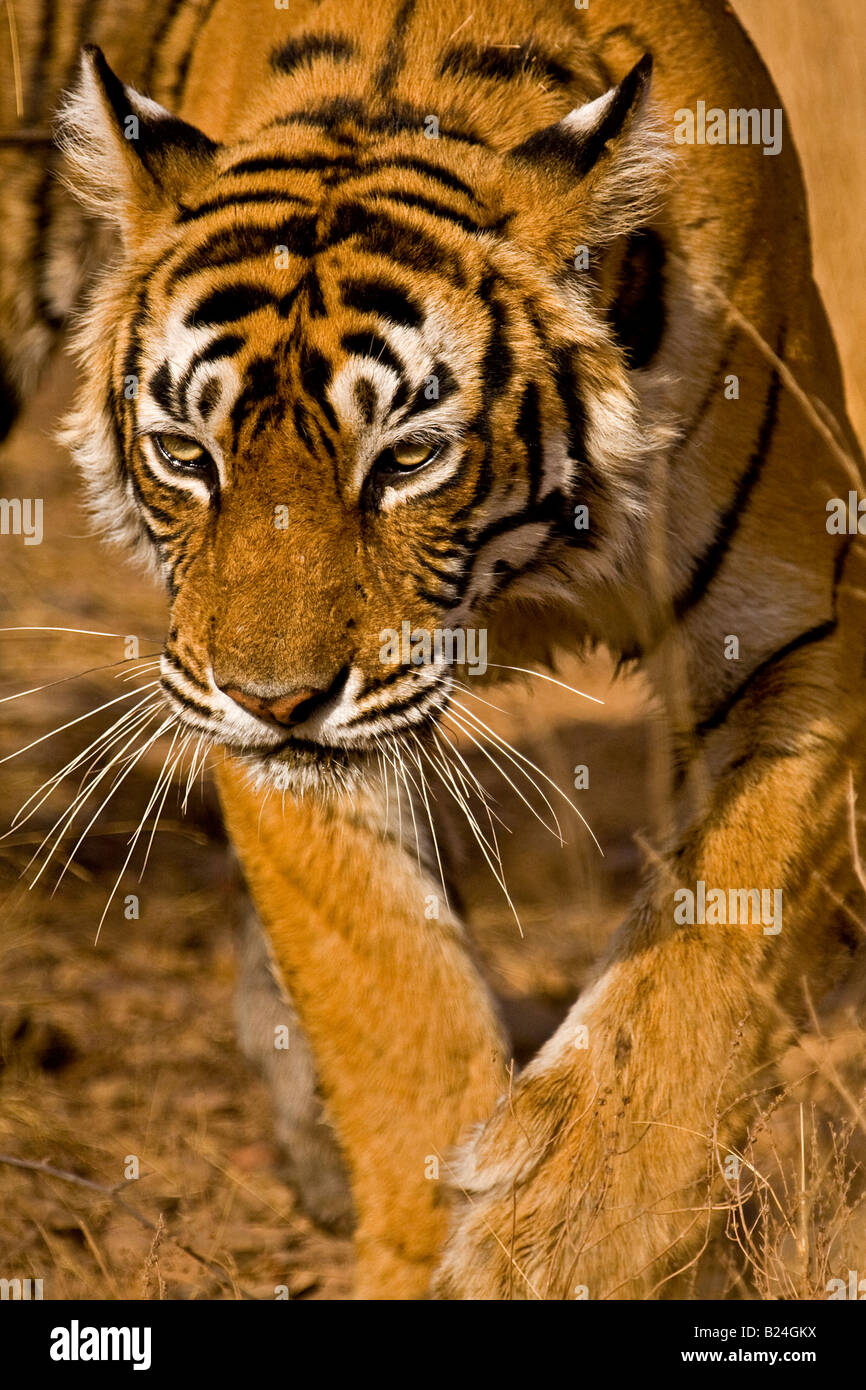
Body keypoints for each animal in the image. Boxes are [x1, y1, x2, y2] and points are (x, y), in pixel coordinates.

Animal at [2, 0, 865, 1300]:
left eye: (406, 456)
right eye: (185, 453)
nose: (274, 699)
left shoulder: (803, 628)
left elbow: (717, 946)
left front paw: (572, 1231)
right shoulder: (248, 712)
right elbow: (390, 1000)